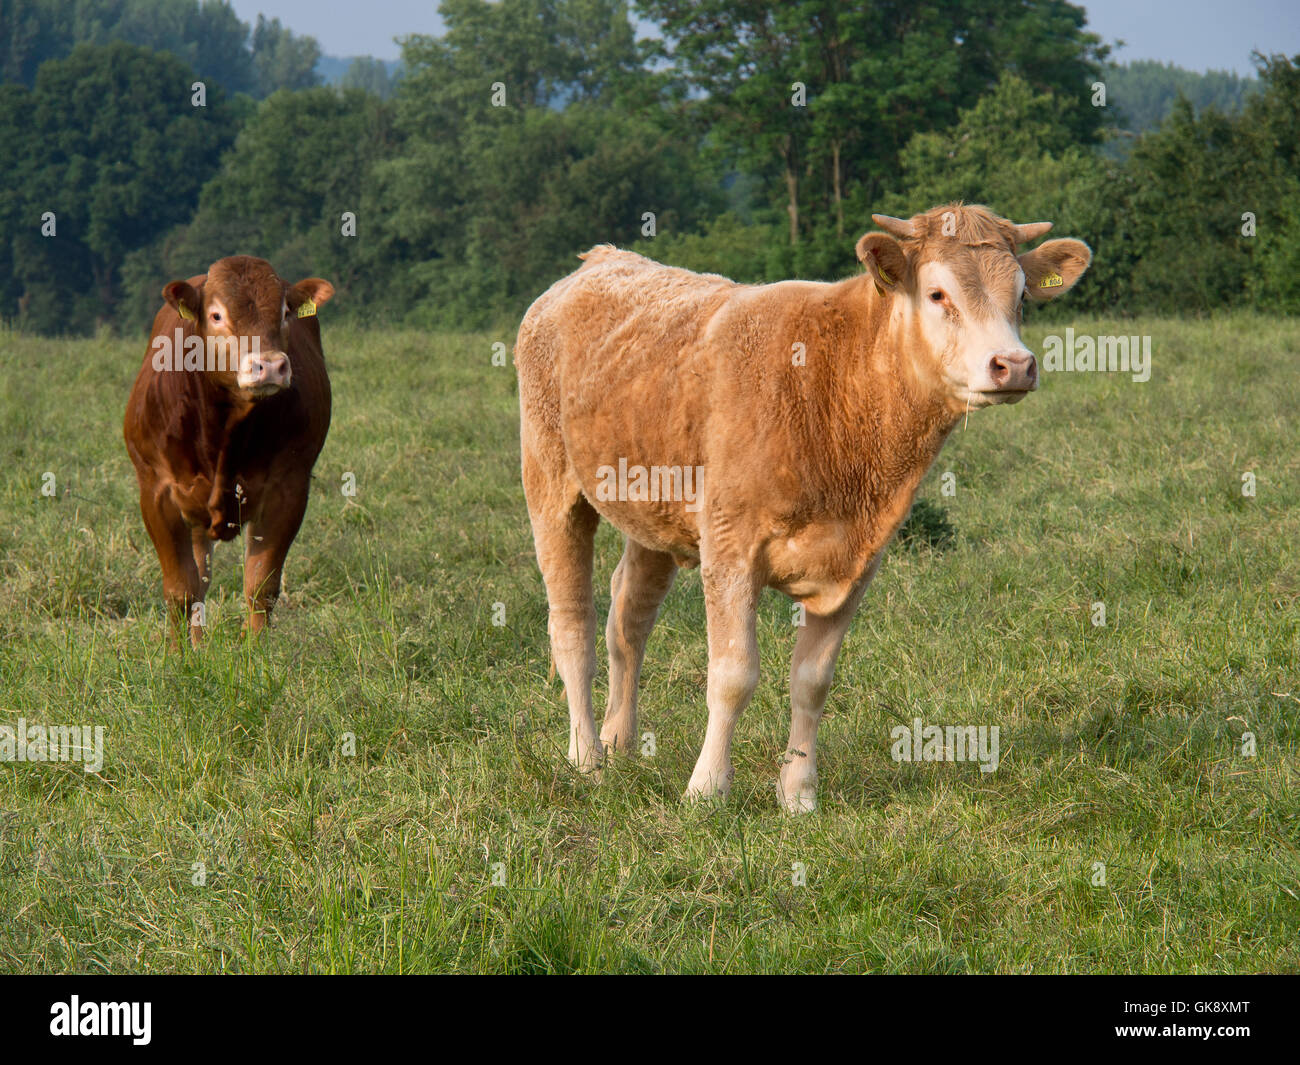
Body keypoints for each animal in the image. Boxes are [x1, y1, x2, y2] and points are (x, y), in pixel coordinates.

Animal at [123, 256, 334, 647]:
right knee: (198, 580)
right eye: (217, 314)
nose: (270, 365)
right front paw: (177, 654)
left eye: (285, 311)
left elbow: (261, 585)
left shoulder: (289, 489)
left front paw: (257, 651)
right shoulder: (157, 493)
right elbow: (181, 588)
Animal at [515, 203, 1091, 812]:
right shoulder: (730, 548)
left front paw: (798, 793)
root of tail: (601, 260)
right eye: (938, 294)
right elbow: (733, 675)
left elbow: (812, 680)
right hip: (550, 485)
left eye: (1022, 296)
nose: (1014, 364)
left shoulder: (859, 561)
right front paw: (707, 788)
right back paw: (586, 758)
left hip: (651, 509)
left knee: (628, 619)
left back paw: (620, 741)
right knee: (572, 625)